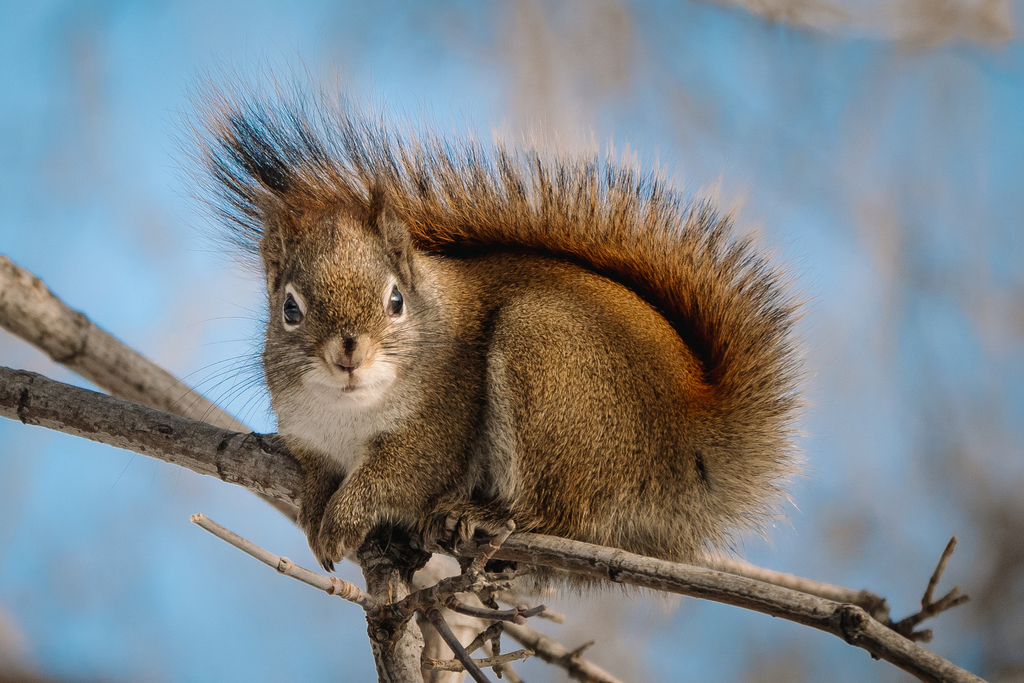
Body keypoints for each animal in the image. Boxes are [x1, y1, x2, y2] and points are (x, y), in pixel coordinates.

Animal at [194, 90, 801, 575]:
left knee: (556, 513)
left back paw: (480, 514)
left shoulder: (442, 424)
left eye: (396, 300)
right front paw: (317, 510)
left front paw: (343, 519)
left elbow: (396, 476)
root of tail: (690, 444)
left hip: (547, 364)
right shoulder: (307, 438)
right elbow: (315, 474)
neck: (348, 412)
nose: (349, 354)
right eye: (289, 309)